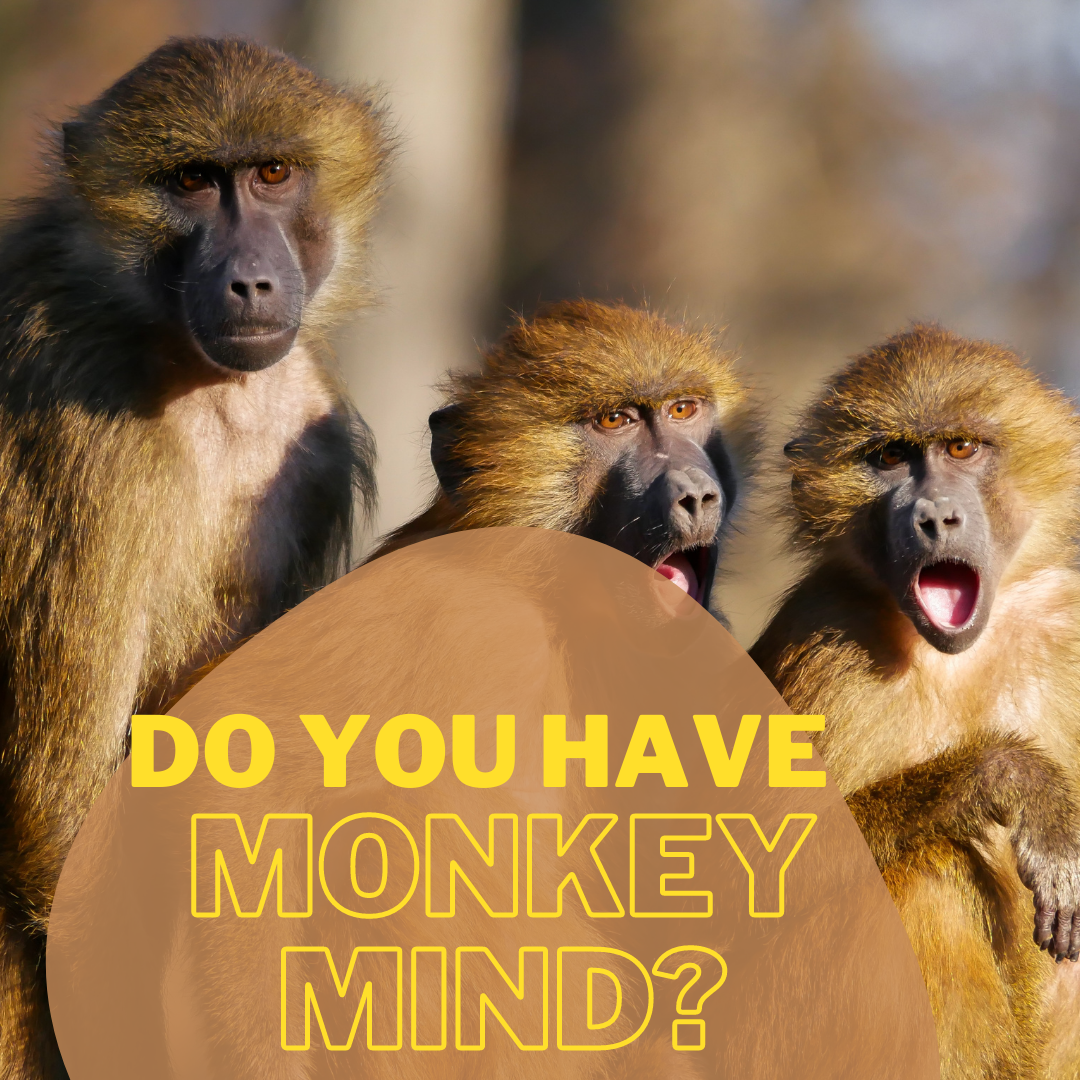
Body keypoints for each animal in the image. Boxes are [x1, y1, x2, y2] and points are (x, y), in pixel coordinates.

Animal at [0, 37, 389, 1077]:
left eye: (272, 174)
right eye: (190, 182)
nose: (251, 281)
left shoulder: (314, 439)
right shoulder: (87, 429)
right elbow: (60, 808)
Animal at [750, 325, 1080, 1078]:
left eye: (961, 448)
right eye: (891, 458)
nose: (934, 517)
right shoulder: (826, 635)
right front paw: (1017, 781)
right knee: (925, 878)